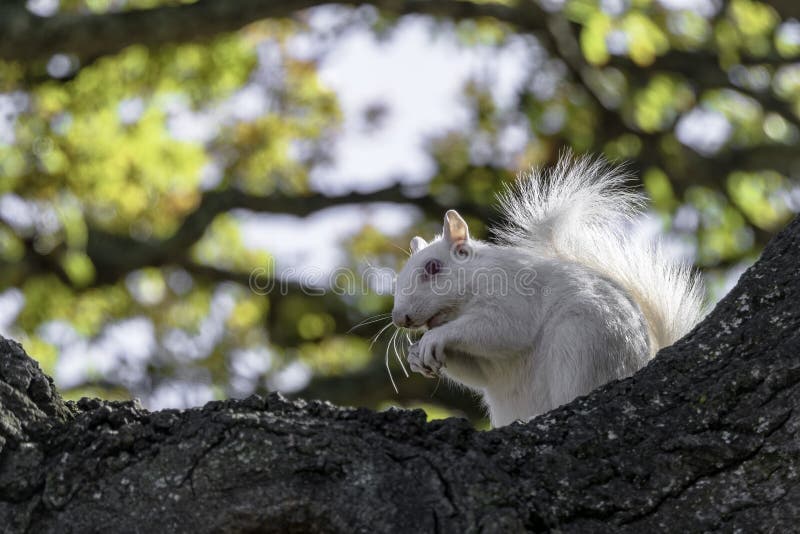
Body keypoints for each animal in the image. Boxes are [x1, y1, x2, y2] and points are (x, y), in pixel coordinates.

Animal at [391, 155, 704, 427]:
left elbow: (501, 329)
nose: (399, 318)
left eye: (433, 267)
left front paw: (434, 338)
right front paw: (416, 355)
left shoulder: (512, 297)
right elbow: (477, 373)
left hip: (579, 345)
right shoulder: (487, 364)